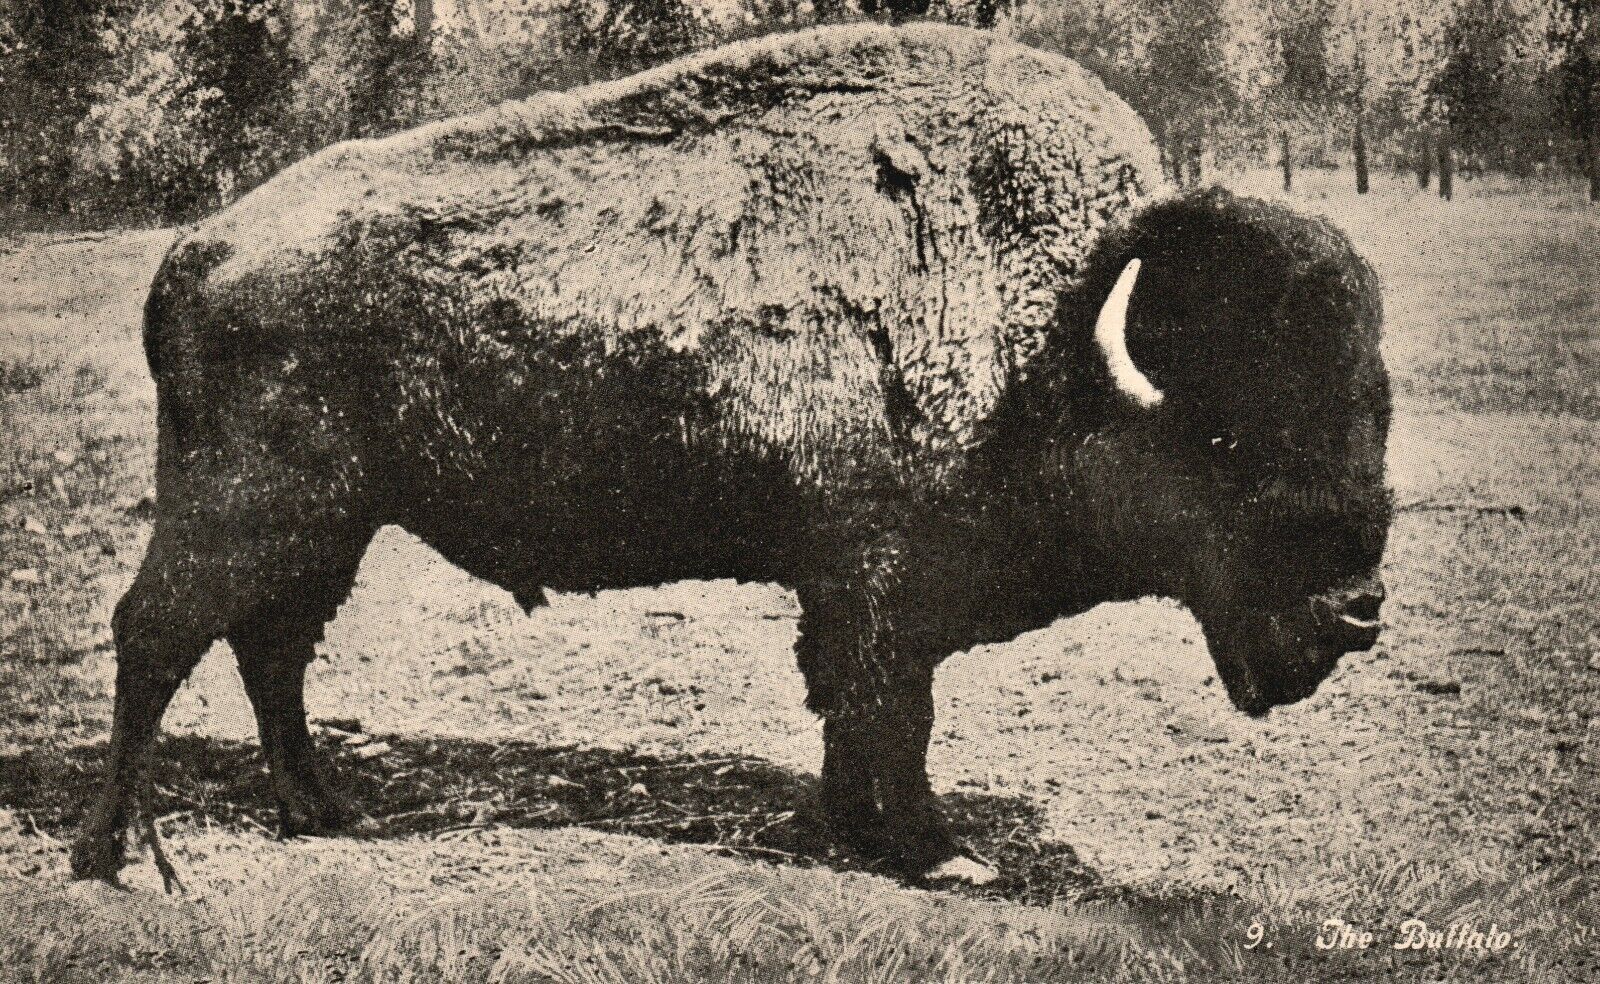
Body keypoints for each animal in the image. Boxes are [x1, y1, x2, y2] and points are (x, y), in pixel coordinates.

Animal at [72, 22, 1390, 887]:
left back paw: (321, 810)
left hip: (329, 525)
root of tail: (198, 246)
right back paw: (118, 855)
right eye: (1230, 442)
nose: (1356, 611)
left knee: (268, 649)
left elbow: (851, 715)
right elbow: (891, 713)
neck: (1054, 337)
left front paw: (859, 831)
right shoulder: (880, 583)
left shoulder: (847, 590)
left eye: (1372, 409)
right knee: (157, 631)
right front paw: (939, 854)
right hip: (247, 508)